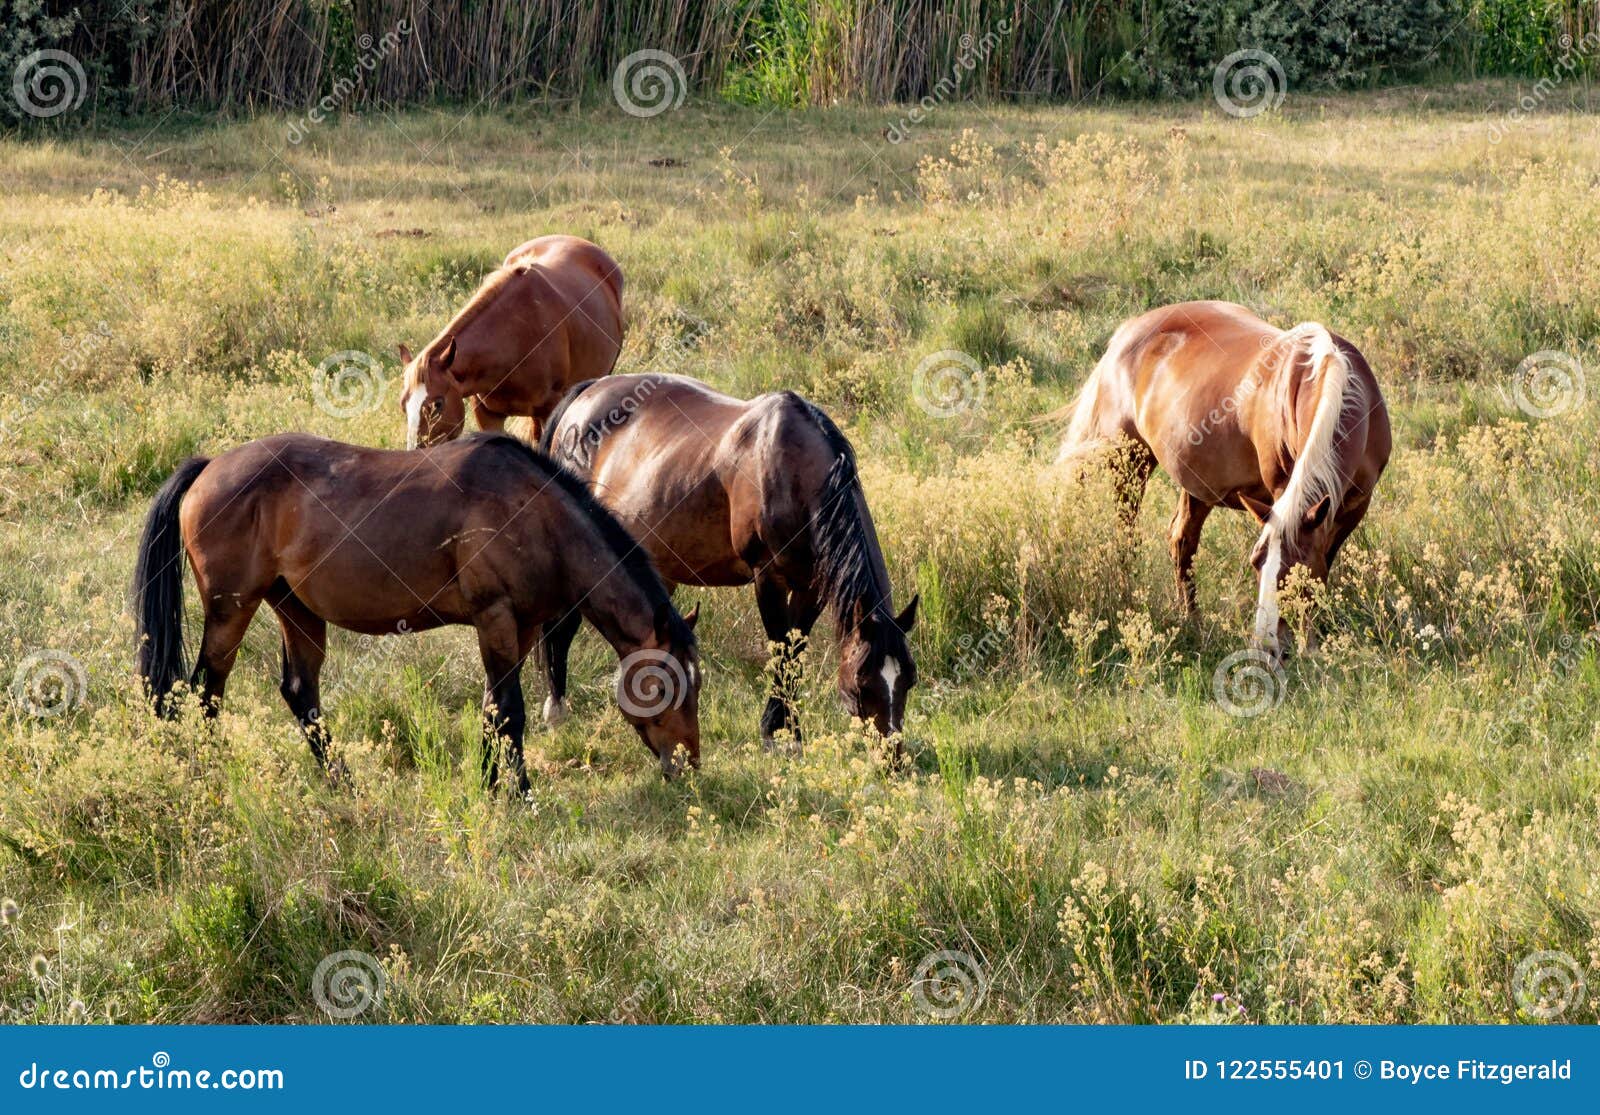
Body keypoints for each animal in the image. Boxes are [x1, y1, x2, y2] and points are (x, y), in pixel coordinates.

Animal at [131, 433, 702, 790]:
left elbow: (494, 710)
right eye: (667, 687)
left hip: (296, 609)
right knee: (205, 690)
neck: (534, 513)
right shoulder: (495, 619)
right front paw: (520, 793)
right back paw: (214, 772)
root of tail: (209, 467)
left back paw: (342, 780)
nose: (691, 766)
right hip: (231, 611)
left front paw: (489, 785)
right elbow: (509, 711)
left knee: (298, 692)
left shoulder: (521, 628)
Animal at [537, 373, 919, 750]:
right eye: (861, 685)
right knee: (561, 628)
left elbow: (794, 654)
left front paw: (790, 733)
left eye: (909, 680)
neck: (789, 470)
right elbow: (780, 650)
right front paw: (776, 734)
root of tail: (587, 392)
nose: (893, 756)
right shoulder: (767, 577)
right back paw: (557, 711)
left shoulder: (811, 586)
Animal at [1053, 300, 1391, 659]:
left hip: (1196, 485)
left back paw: (1192, 620)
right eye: (1256, 564)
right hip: (1130, 462)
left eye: (1299, 574)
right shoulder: (1282, 490)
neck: (1332, 380)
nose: (1268, 645)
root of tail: (1128, 331)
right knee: (1126, 535)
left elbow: (1326, 560)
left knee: (1181, 540)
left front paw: (1310, 642)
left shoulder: (1353, 507)